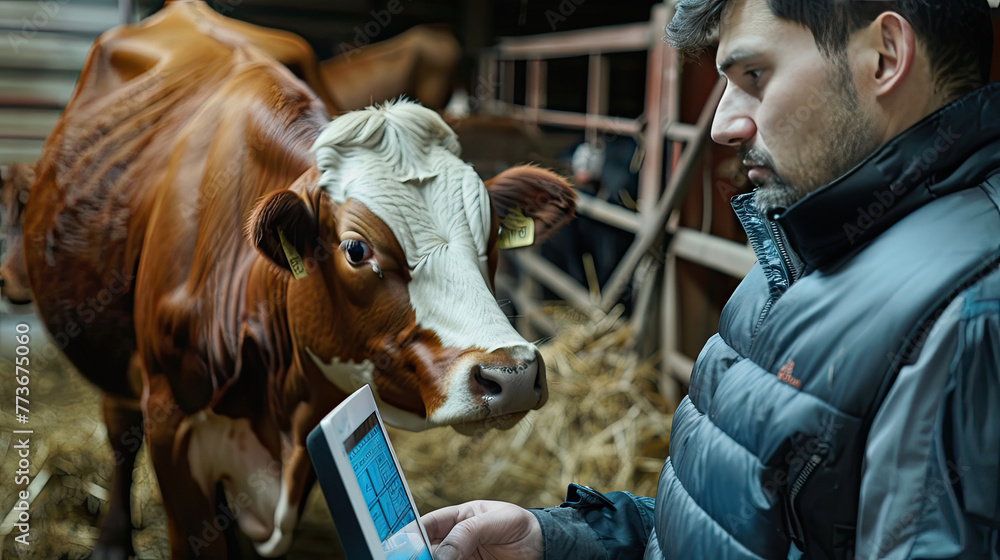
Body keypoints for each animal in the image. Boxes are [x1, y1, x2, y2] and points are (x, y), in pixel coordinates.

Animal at [20, 1, 576, 558]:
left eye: (491, 236)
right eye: (356, 249)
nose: (513, 375)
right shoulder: (169, 423)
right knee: (119, 428)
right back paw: (112, 540)